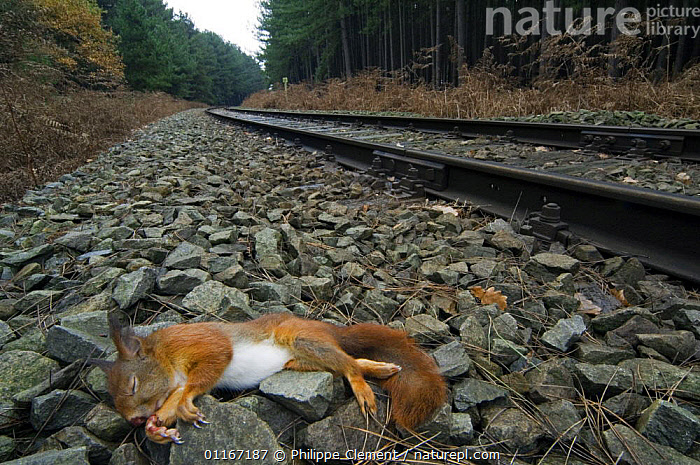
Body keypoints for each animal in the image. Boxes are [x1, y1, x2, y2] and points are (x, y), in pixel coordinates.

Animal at [91, 313, 447, 444]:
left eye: (132, 385)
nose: (134, 421)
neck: (165, 357)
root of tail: (330, 330)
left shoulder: (204, 345)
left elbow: (200, 378)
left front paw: (184, 411)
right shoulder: (174, 385)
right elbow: (174, 399)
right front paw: (157, 429)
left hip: (304, 340)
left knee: (349, 367)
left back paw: (364, 389)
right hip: (301, 362)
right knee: (350, 362)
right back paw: (381, 369)